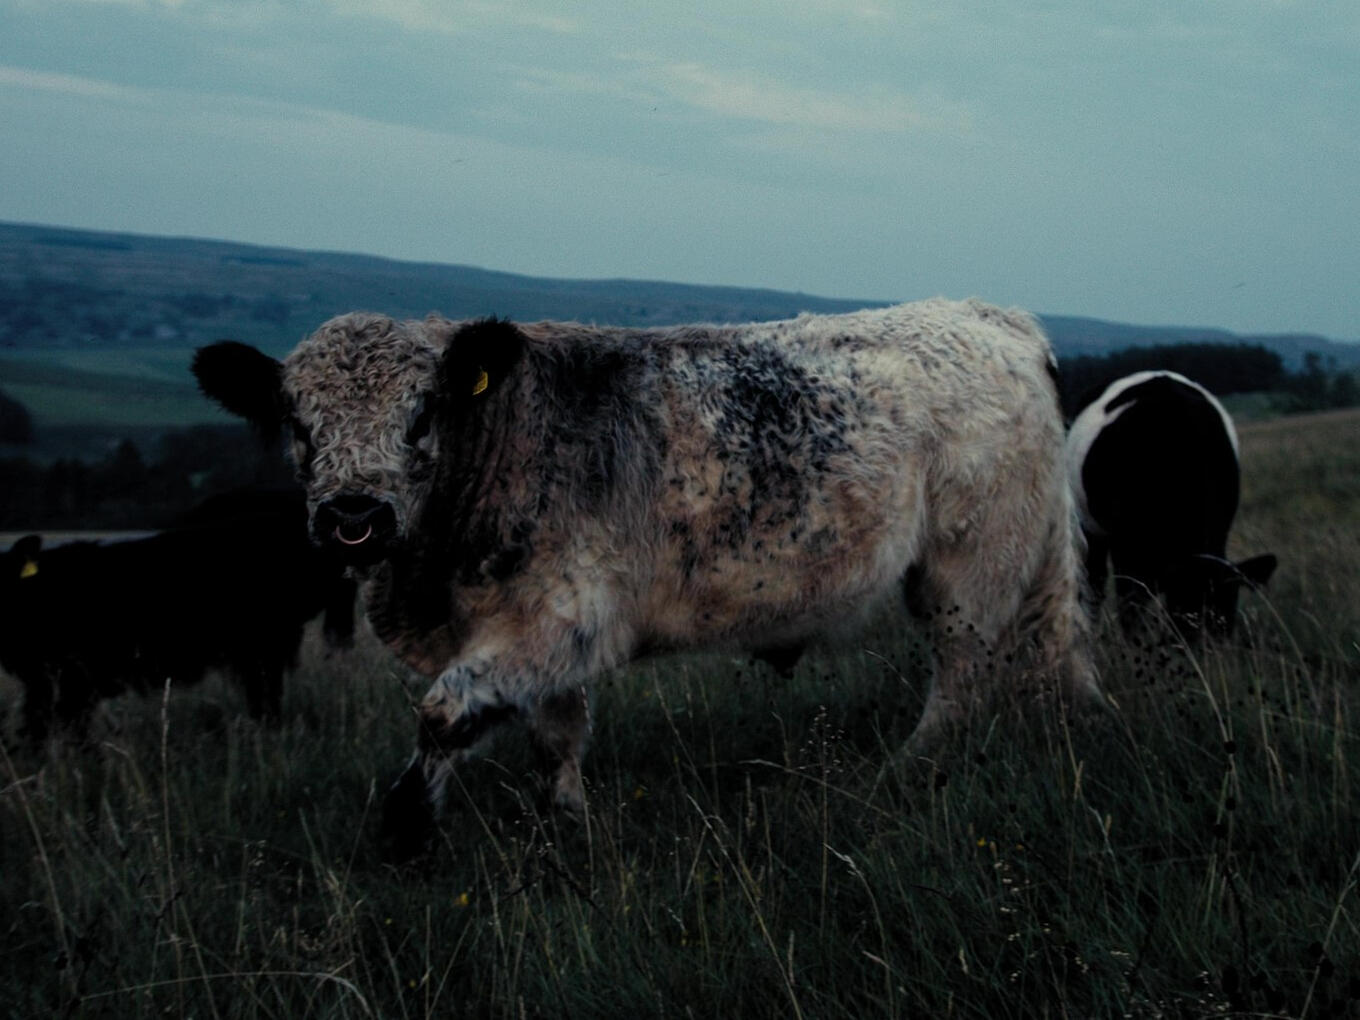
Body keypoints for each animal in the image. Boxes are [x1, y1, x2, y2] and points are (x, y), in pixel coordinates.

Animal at [192, 299, 1103, 856]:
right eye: (297, 422)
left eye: (422, 414)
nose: (354, 514)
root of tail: (991, 317)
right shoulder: (538, 636)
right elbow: (553, 732)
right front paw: (566, 823)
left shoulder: (560, 617)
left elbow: (445, 713)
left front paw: (407, 831)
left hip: (969, 570)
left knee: (962, 678)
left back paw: (907, 768)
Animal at [1065, 369, 1277, 638]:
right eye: (1182, 608)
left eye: (1227, 614)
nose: (1205, 648)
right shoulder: (1126, 548)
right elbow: (1130, 609)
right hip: (1090, 529)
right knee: (1094, 582)